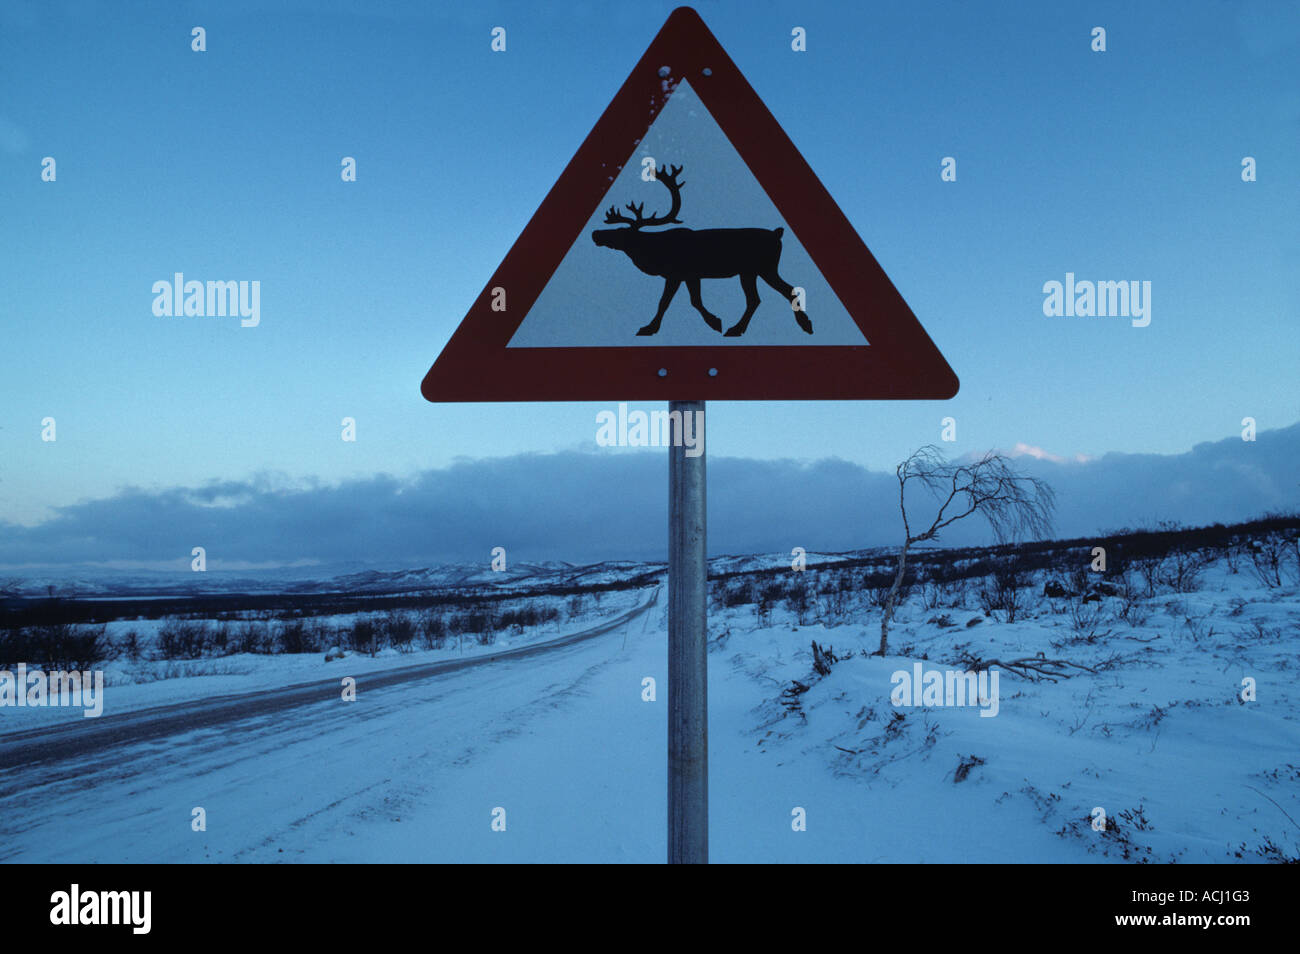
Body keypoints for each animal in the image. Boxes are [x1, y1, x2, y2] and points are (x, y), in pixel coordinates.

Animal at [591, 164, 813, 337]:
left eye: (621, 232)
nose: (595, 233)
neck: (654, 251)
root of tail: (778, 234)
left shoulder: (676, 273)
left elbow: (666, 302)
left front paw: (649, 328)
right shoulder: (691, 275)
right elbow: (695, 300)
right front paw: (715, 321)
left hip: (763, 269)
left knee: (778, 293)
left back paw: (801, 325)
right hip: (751, 272)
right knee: (759, 298)